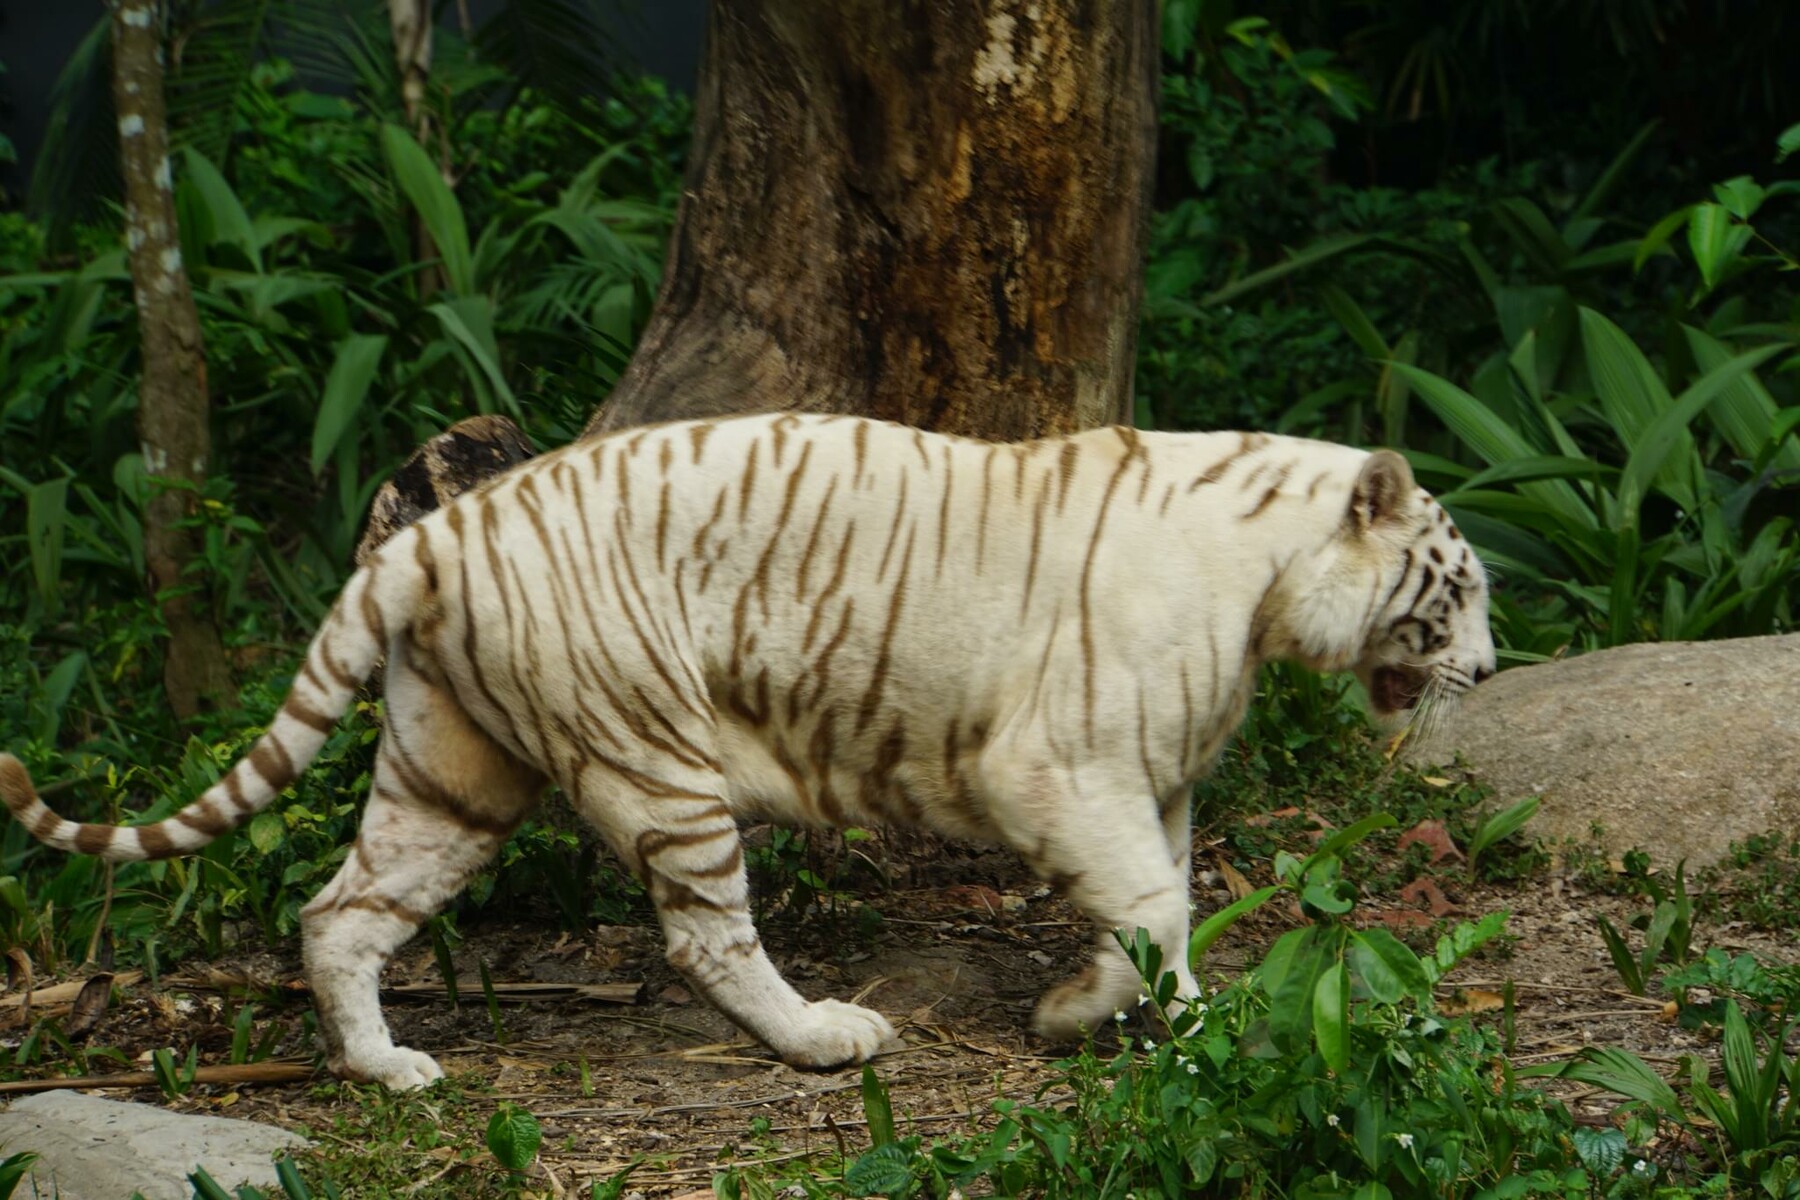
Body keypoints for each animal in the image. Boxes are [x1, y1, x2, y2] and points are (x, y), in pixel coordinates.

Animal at [0, 413, 1495, 1090]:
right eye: (1460, 589)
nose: (1487, 672)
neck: (1271, 590)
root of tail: (435, 531)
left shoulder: (1150, 776)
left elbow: (1152, 900)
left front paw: (1087, 1011)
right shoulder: (1062, 770)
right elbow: (1152, 907)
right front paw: (1190, 1034)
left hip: (450, 772)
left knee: (341, 910)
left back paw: (388, 1070)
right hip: (655, 754)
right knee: (706, 936)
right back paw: (827, 1036)